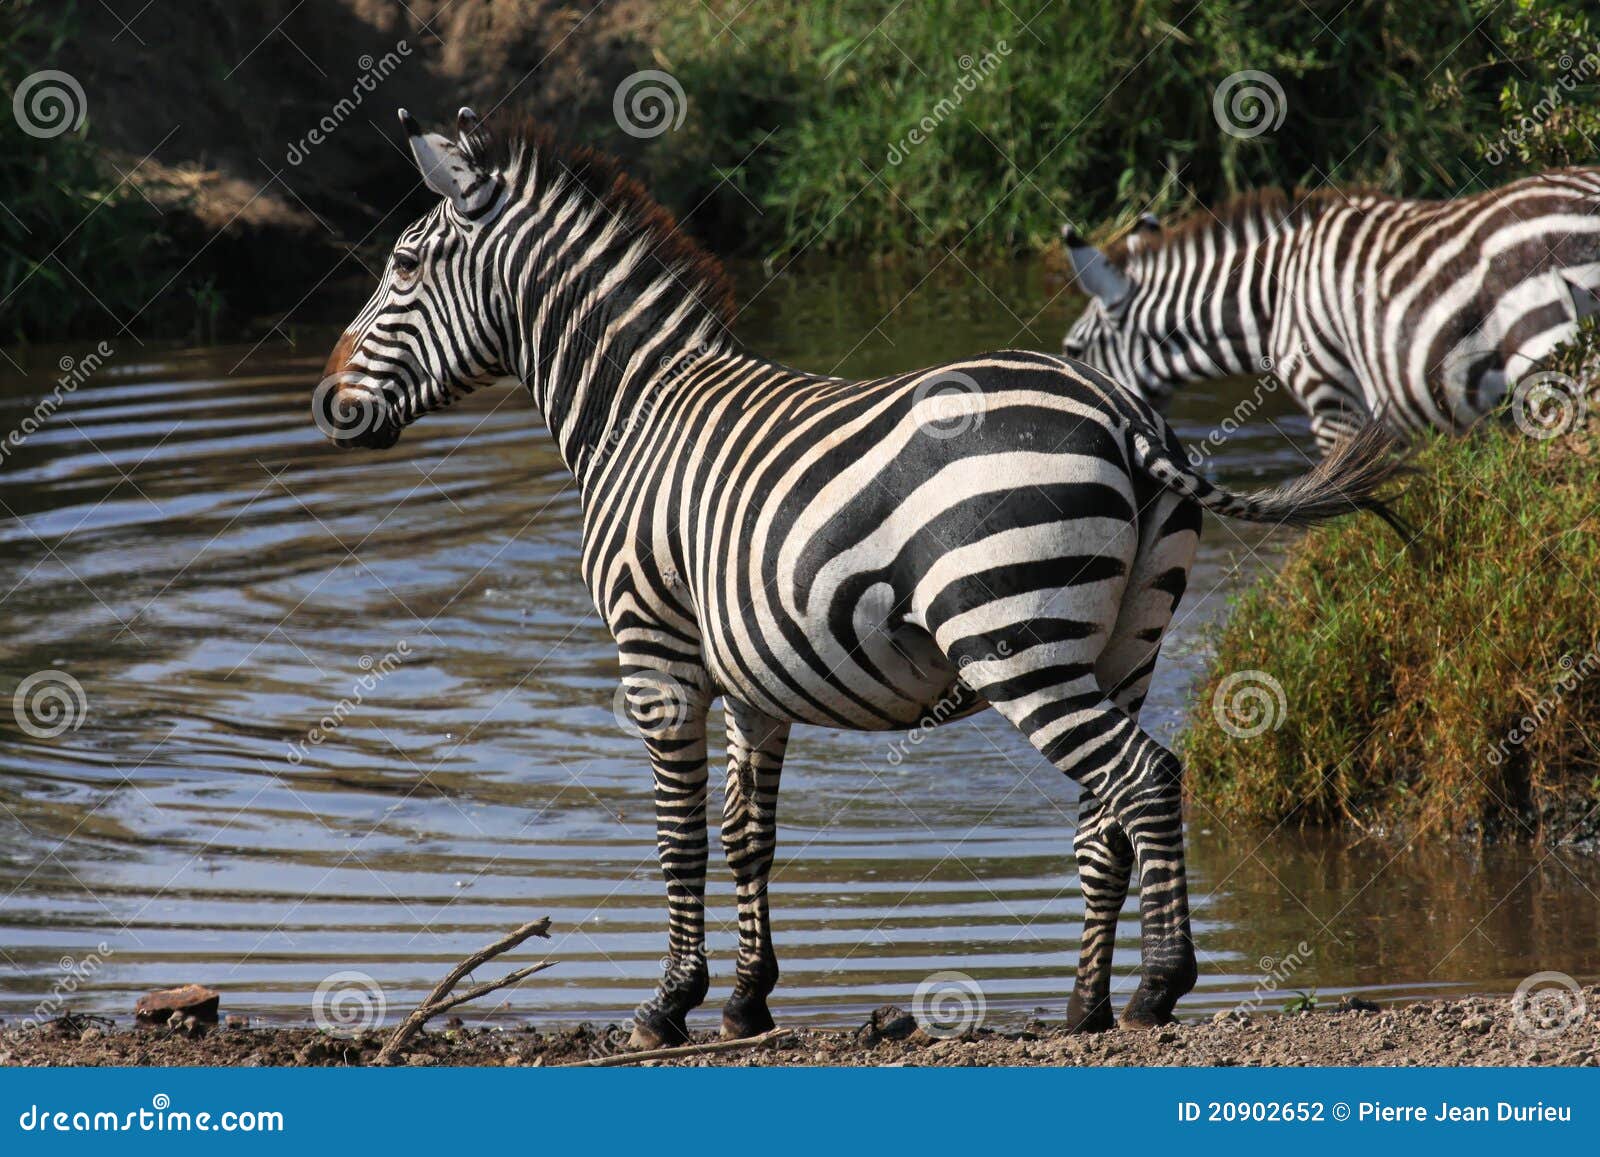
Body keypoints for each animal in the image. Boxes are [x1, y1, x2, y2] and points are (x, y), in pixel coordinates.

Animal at [315, 107, 1407, 1044]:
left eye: (403, 265)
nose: (326, 403)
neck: (636, 408)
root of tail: (1124, 413)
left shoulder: (653, 648)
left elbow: (678, 836)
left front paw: (667, 1004)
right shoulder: (751, 677)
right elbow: (748, 834)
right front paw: (746, 1001)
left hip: (1013, 637)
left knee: (1144, 777)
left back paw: (1155, 988)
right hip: (1128, 637)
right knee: (1108, 811)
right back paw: (1084, 1004)